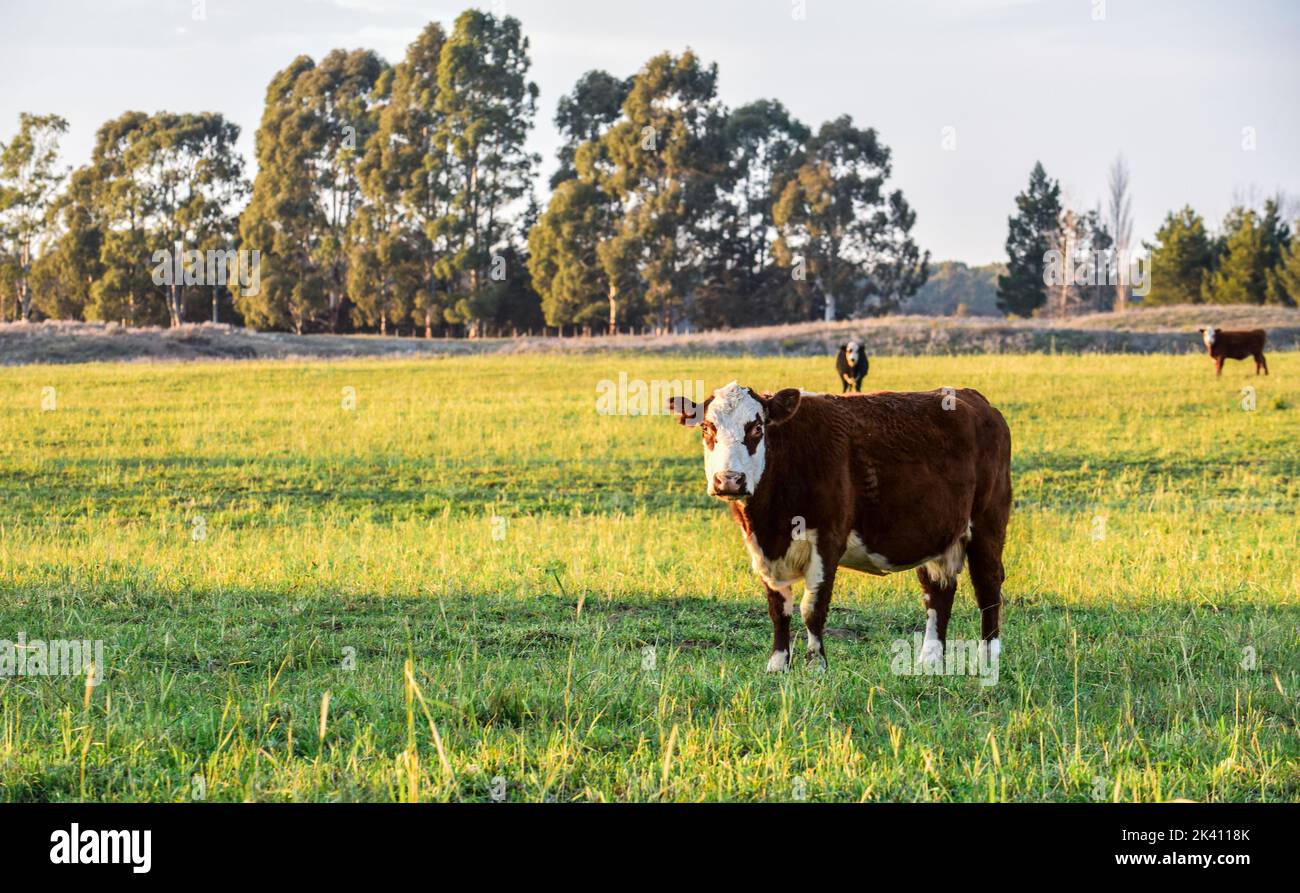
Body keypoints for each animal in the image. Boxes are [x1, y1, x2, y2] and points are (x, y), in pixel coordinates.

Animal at [667, 382, 1012, 673]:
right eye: (707, 428)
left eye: (756, 428)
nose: (729, 480)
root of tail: (975, 399)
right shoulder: (761, 548)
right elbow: (778, 608)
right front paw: (778, 665)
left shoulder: (827, 540)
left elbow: (812, 607)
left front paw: (816, 665)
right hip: (937, 536)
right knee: (938, 593)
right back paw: (929, 661)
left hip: (987, 525)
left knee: (988, 587)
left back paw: (988, 658)